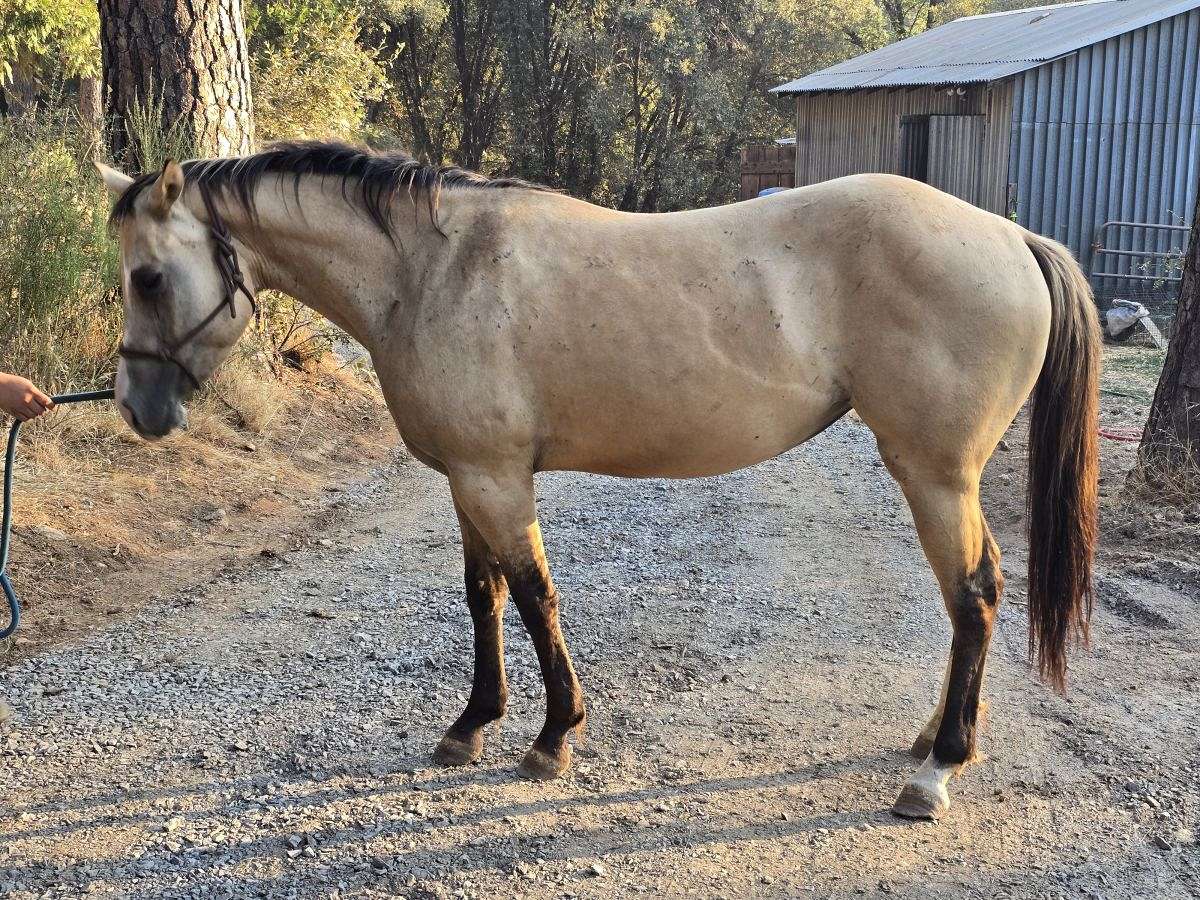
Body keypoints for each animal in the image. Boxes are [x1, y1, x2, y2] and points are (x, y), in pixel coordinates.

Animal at [96, 141, 1099, 820]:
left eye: (148, 278)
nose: (137, 409)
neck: (434, 271)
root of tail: (1010, 234)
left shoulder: (498, 480)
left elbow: (537, 597)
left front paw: (552, 737)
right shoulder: (468, 480)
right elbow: (485, 597)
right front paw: (472, 724)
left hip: (934, 473)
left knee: (974, 596)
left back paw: (936, 771)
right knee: (973, 597)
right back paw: (936, 740)